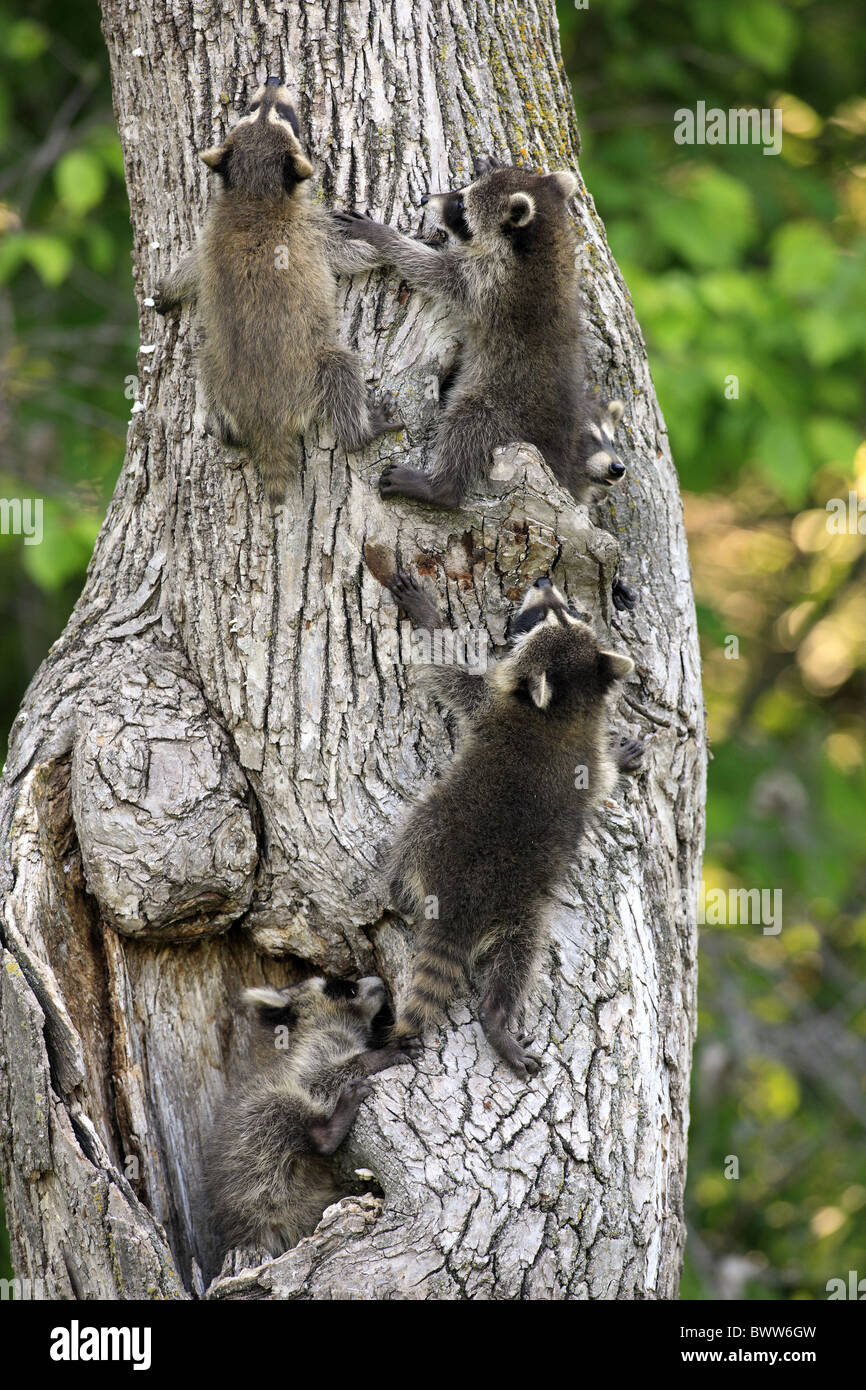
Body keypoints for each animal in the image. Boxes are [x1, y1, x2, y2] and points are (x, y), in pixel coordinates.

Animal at [154, 78, 399, 506]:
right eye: (274, 112)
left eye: (260, 108)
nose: (272, 81)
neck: (254, 188)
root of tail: (263, 419)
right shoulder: (310, 231)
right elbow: (350, 256)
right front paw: (388, 247)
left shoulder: (210, 234)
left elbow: (191, 267)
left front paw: (169, 287)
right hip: (314, 367)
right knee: (341, 370)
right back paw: (363, 431)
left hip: (216, 367)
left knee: (205, 363)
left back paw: (224, 429)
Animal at [205, 974, 411, 1263]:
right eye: (346, 989)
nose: (378, 980)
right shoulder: (311, 1055)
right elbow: (321, 1079)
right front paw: (374, 1056)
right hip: (248, 1142)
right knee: (273, 1108)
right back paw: (325, 1133)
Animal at [334, 156, 628, 511]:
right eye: (461, 190)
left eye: (461, 204)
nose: (424, 199)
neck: (541, 240)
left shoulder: (487, 281)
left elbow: (432, 270)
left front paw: (384, 237)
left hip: (504, 404)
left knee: (468, 422)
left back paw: (439, 487)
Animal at [382, 571, 644, 1080]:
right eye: (561, 612)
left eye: (546, 616)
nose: (543, 580)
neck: (567, 705)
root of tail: (459, 906)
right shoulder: (585, 748)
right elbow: (601, 779)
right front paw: (620, 761)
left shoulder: (489, 704)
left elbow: (448, 669)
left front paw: (427, 615)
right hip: (520, 914)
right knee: (517, 959)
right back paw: (500, 1011)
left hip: (437, 833)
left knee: (411, 838)